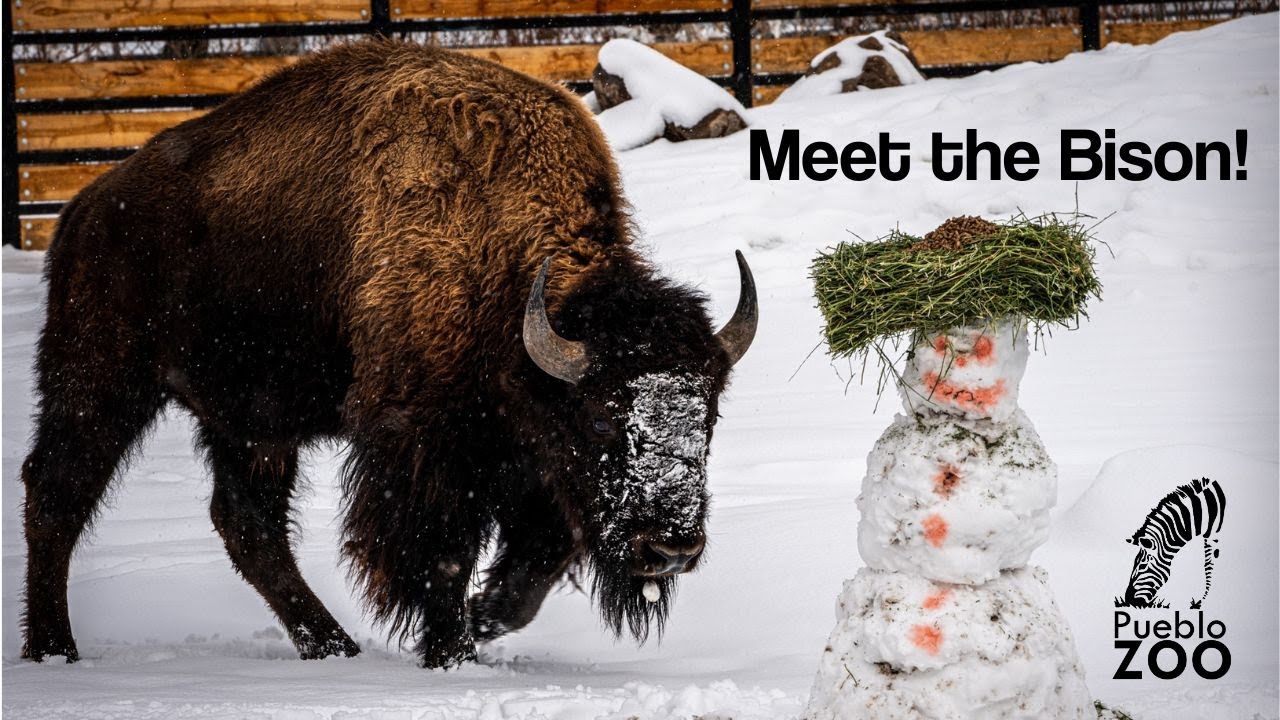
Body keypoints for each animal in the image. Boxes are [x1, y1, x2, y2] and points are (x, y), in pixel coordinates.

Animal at [20, 39, 756, 669]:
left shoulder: (528, 453)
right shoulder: (423, 444)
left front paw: (487, 618)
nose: (671, 546)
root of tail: (83, 212)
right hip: (102, 379)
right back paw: (54, 649)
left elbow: (540, 554)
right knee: (57, 491)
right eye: (602, 418)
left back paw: (332, 648)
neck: (504, 269)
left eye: (710, 419)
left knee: (248, 525)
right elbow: (441, 555)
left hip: (250, 422)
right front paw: (452, 653)